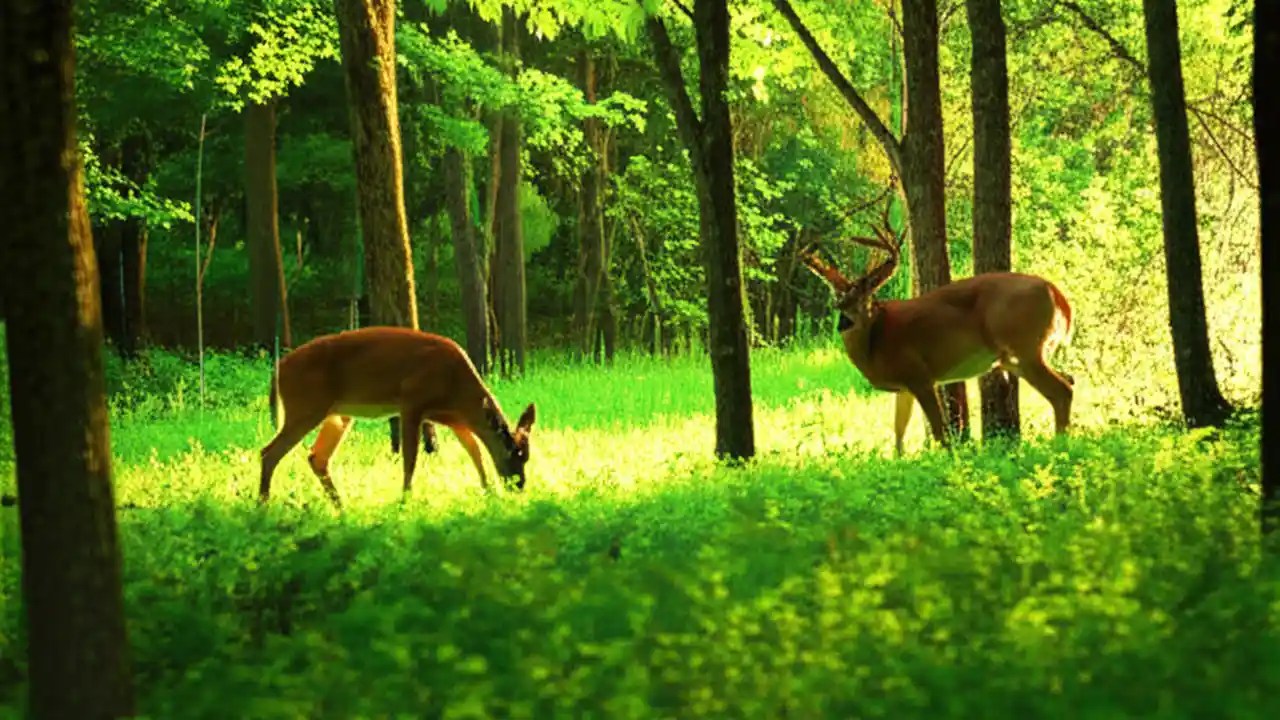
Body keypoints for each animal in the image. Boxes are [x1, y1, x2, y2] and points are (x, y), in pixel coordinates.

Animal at [259, 326, 536, 508]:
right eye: (513, 453)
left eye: (527, 456)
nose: (519, 485)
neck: (456, 388)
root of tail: (277, 371)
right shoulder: (411, 401)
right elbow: (410, 459)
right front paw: (404, 501)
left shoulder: (455, 419)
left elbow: (474, 451)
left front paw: (488, 493)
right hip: (305, 406)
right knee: (269, 452)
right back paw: (263, 505)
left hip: (337, 414)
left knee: (317, 456)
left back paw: (341, 507)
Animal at [800, 220, 1074, 456]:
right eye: (839, 300)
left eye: (867, 298)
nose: (844, 322)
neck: (875, 345)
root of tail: (1056, 294)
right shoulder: (904, 386)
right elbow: (898, 433)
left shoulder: (920, 375)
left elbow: (939, 430)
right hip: (1017, 357)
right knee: (1068, 381)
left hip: (1025, 348)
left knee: (1063, 390)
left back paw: (1060, 447)